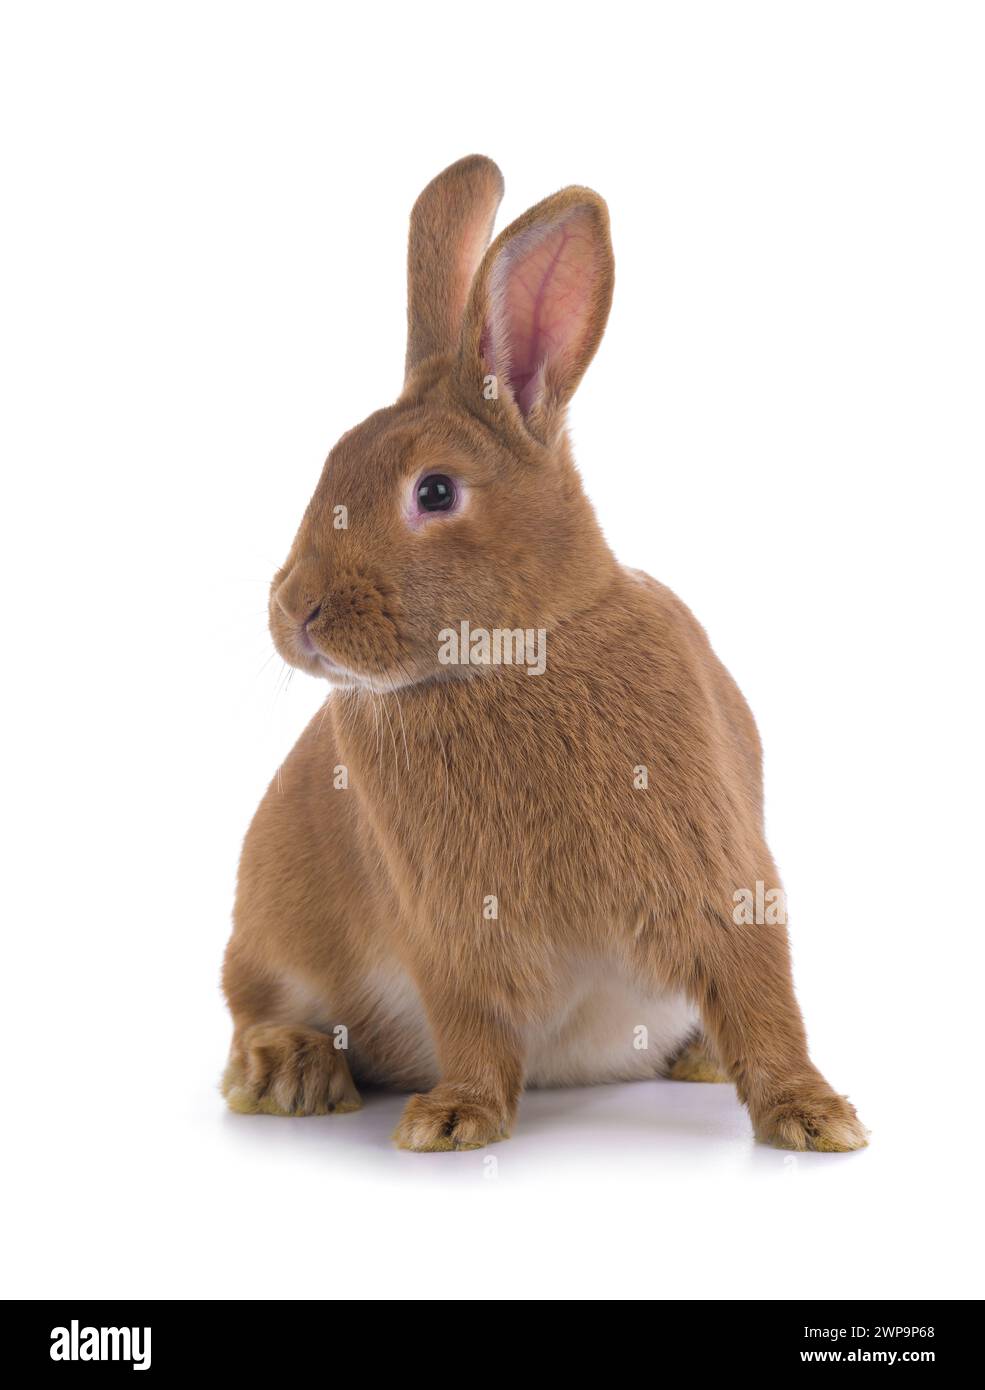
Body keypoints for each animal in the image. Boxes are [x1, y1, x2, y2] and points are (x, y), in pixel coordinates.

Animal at [221, 155, 867, 1153]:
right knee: (251, 1006)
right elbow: (473, 1027)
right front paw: (453, 1122)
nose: (297, 612)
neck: (513, 654)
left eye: (434, 491)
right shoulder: (448, 931)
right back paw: (288, 1070)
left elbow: (764, 1002)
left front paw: (815, 1119)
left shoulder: (723, 877)